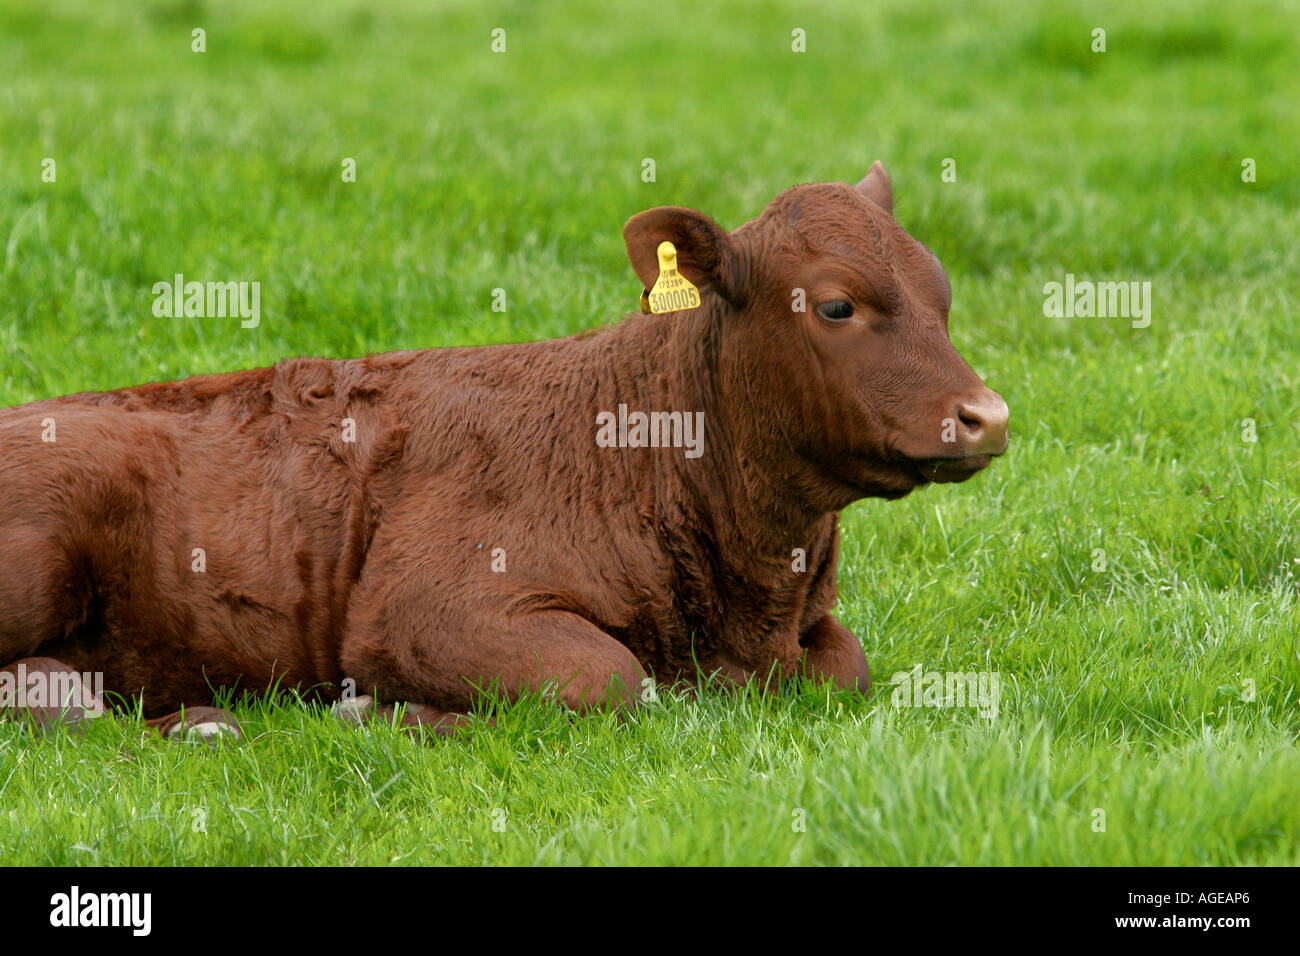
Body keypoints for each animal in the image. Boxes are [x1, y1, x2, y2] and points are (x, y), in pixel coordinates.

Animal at [0, 163, 1008, 741]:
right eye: (836, 304)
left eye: (942, 289)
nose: (987, 415)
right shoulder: (424, 606)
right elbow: (610, 677)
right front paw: (383, 711)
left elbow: (846, 666)